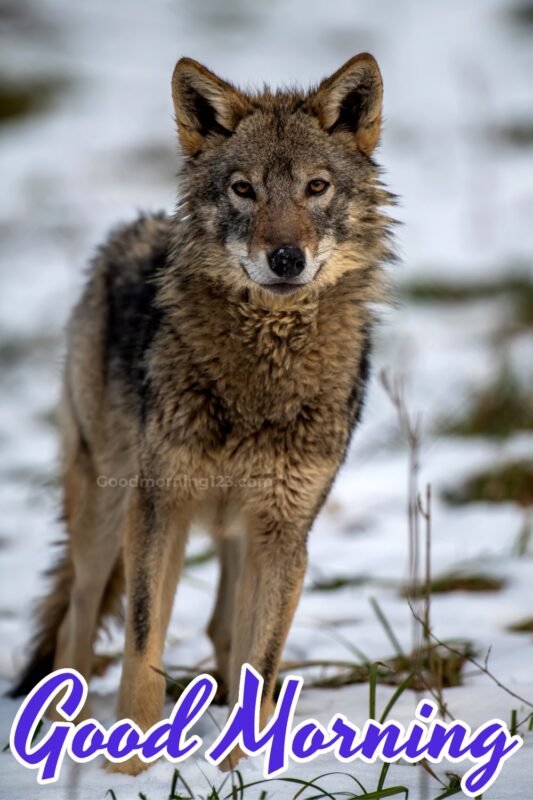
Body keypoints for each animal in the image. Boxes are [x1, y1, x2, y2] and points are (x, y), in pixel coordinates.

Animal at [10, 53, 395, 773]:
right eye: (244, 189)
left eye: (316, 187)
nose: (284, 258)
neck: (262, 371)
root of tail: (127, 230)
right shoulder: (158, 509)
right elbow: (142, 646)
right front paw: (128, 768)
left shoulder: (285, 531)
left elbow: (260, 661)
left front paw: (246, 769)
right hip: (107, 513)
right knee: (77, 620)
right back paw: (58, 734)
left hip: (232, 528)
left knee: (222, 629)